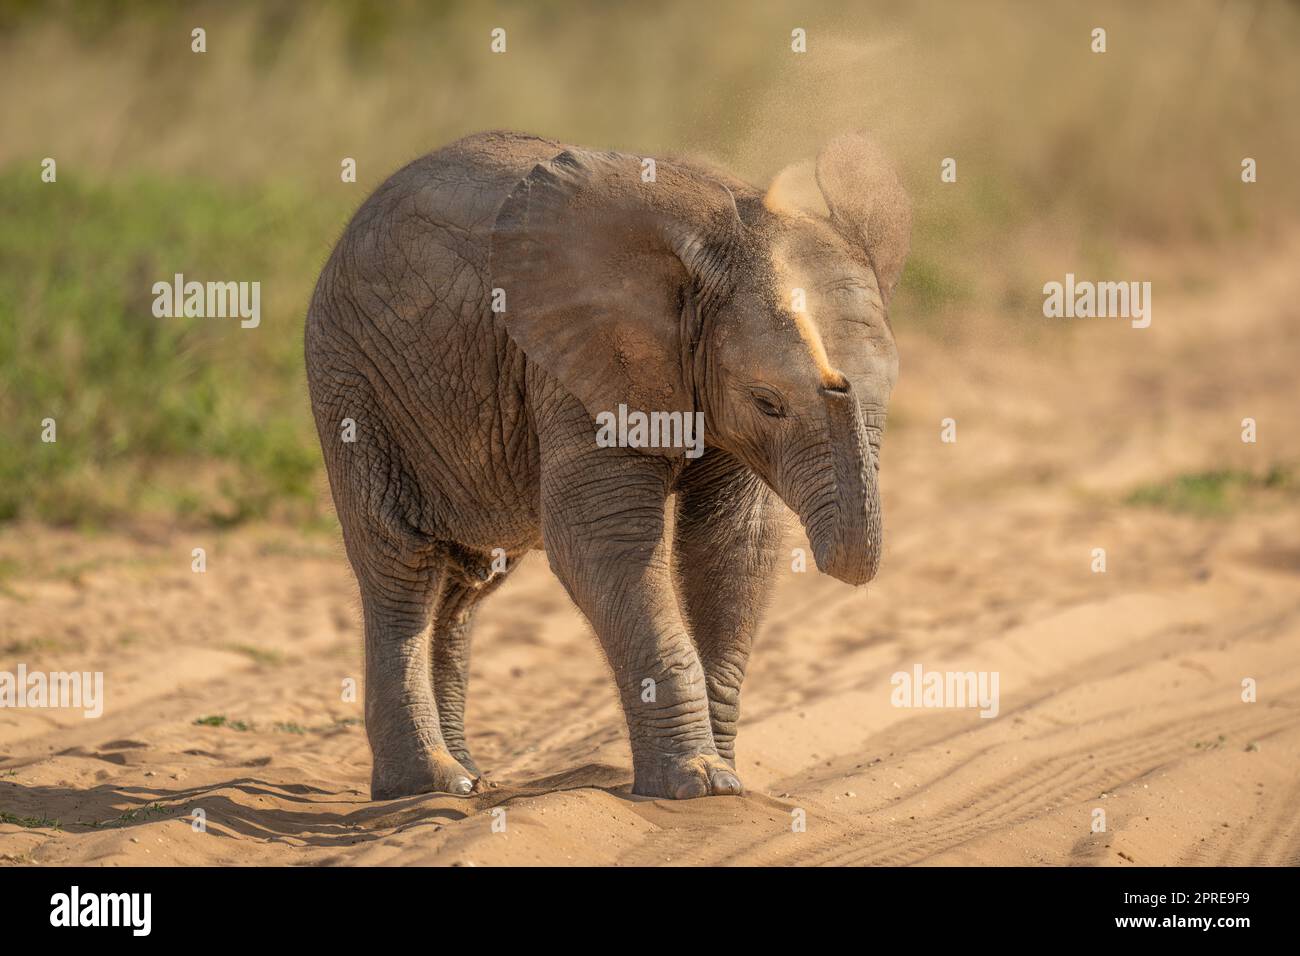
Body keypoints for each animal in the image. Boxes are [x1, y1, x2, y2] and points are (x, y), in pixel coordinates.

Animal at [304, 130, 911, 801]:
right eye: (767, 402)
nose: (836, 382)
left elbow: (732, 547)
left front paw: (725, 781)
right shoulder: (574, 361)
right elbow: (604, 540)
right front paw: (697, 784)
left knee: (467, 582)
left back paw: (468, 778)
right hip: (351, 378)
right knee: (402, 563)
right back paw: (429, 784)